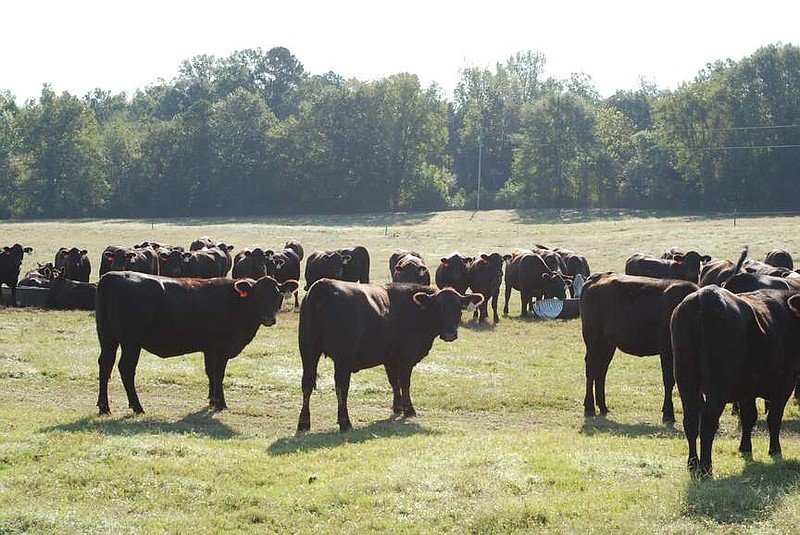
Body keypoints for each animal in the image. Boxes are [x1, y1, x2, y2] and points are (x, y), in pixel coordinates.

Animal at [96, 272, 299, 414]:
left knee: (105, 364)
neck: (235, 301)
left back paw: (104, 406)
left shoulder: (209, 349)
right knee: (126, 368)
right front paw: (220, 403)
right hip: (131, 342)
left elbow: (210, 373)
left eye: (278, 294)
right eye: (258, 295)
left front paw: (212, 399)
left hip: (108, 337)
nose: (269, 318)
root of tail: (111, 276)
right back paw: (137, 406)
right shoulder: (221, 348)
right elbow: (218, 374)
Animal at [296, 279, 484, 431]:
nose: (450, 334)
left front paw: (397, 407)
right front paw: (409, 409)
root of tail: (322, 285)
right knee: (341, 386)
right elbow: (405, 383)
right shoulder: (406, 358)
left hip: (308, 350)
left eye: (458, 309)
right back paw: (345, 422)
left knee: (307, 383)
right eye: (438, 308)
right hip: (342, 357)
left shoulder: (390, 359)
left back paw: (304, 422)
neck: (415, 310)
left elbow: (394, 382)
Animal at [580, 272, 699, 424]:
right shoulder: (667, 350)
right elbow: (668, 380)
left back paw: (603, 406)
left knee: (600, 371)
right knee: (591, 369)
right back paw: (589, 407)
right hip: (592, 340)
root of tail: (597, 276)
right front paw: (668, 413)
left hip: (607, 344)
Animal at [671, 287, 800, 477]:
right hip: (717, 385)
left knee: (691, 421)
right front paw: (775, 450)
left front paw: (745, 448)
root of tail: (706, 295)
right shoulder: (784, 384)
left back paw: (693, 464)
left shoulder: (748, 390)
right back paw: (706, 468)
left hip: (686, 379)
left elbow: (749, 417)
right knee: (708, 422)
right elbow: (774, 417)